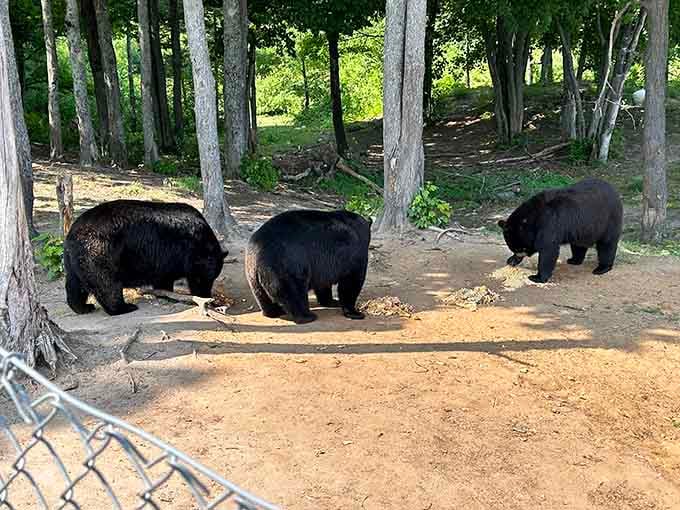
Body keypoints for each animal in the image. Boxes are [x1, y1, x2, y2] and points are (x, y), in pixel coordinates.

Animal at [64, 200, 228, 316]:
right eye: (200, 279)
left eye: (212, 279)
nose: (207, 296)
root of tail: (73, 233)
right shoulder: (173, 251)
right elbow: (165, 277)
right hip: (101, 251)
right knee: (107, 282)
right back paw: (124, 307)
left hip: (74, 259)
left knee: (75, 284)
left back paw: (83, 307)